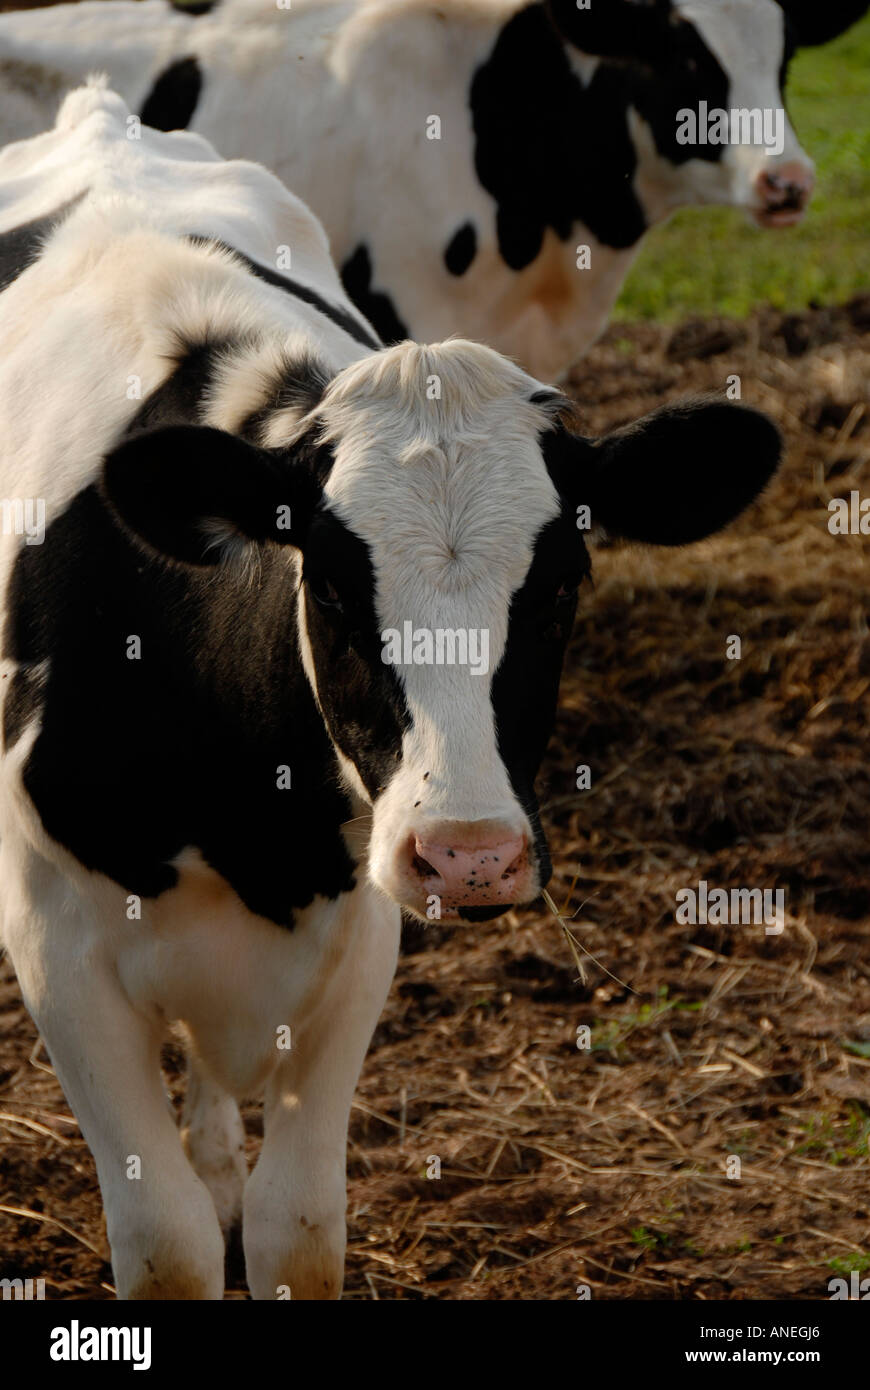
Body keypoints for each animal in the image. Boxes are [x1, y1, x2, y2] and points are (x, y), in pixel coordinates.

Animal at [0, 81, 780, 1299]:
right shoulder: (53, 941)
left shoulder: (360, 926)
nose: (469, 856)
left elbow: (298, 1229)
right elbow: (168, 1243)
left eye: (564, 578)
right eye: (325, 576)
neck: (246, 827)